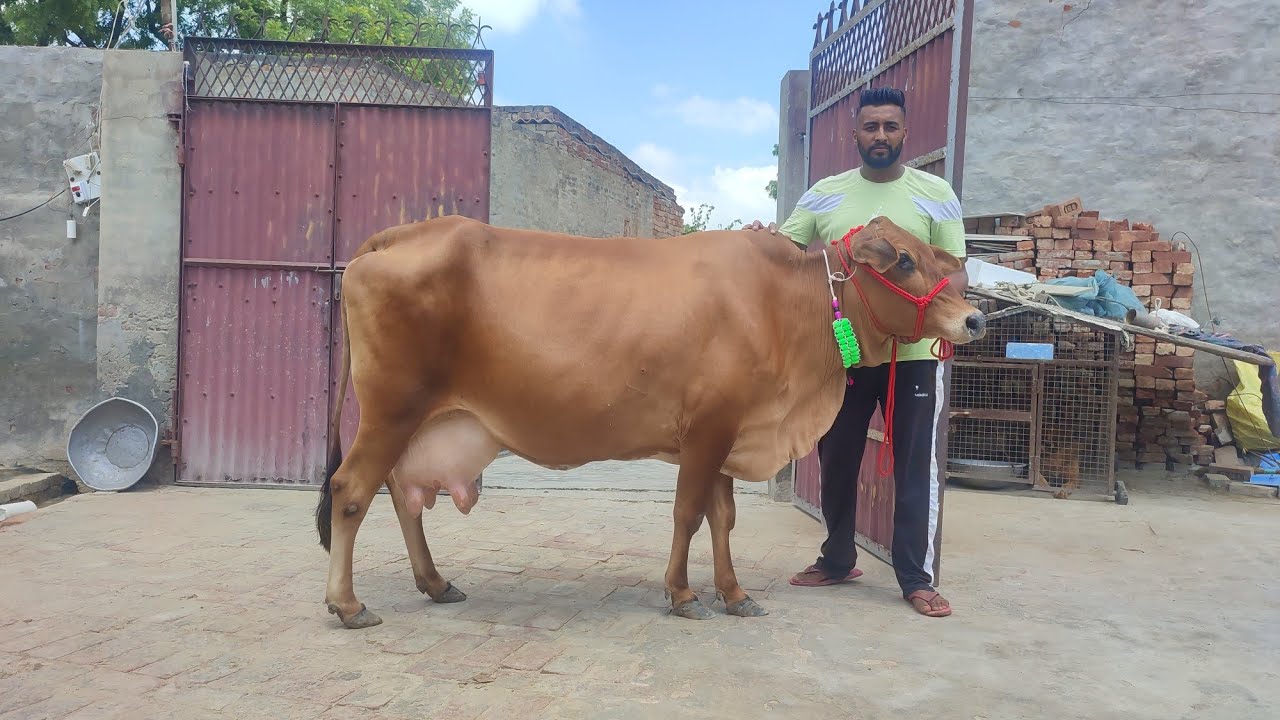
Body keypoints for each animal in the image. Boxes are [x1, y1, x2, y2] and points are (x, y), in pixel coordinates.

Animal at [315, 214, 986, 629]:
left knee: (400, 494)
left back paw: (434, 583)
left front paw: (735, 594)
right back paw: (348, 605)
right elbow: (689, 513)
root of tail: (404, 234)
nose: (974, 319)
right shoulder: (709, 428)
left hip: (418, 421)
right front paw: (683, 594)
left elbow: (722, 517)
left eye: (934, 256)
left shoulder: (727, 431)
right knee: (350, 492)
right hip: (390, 412)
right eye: (904, 261)